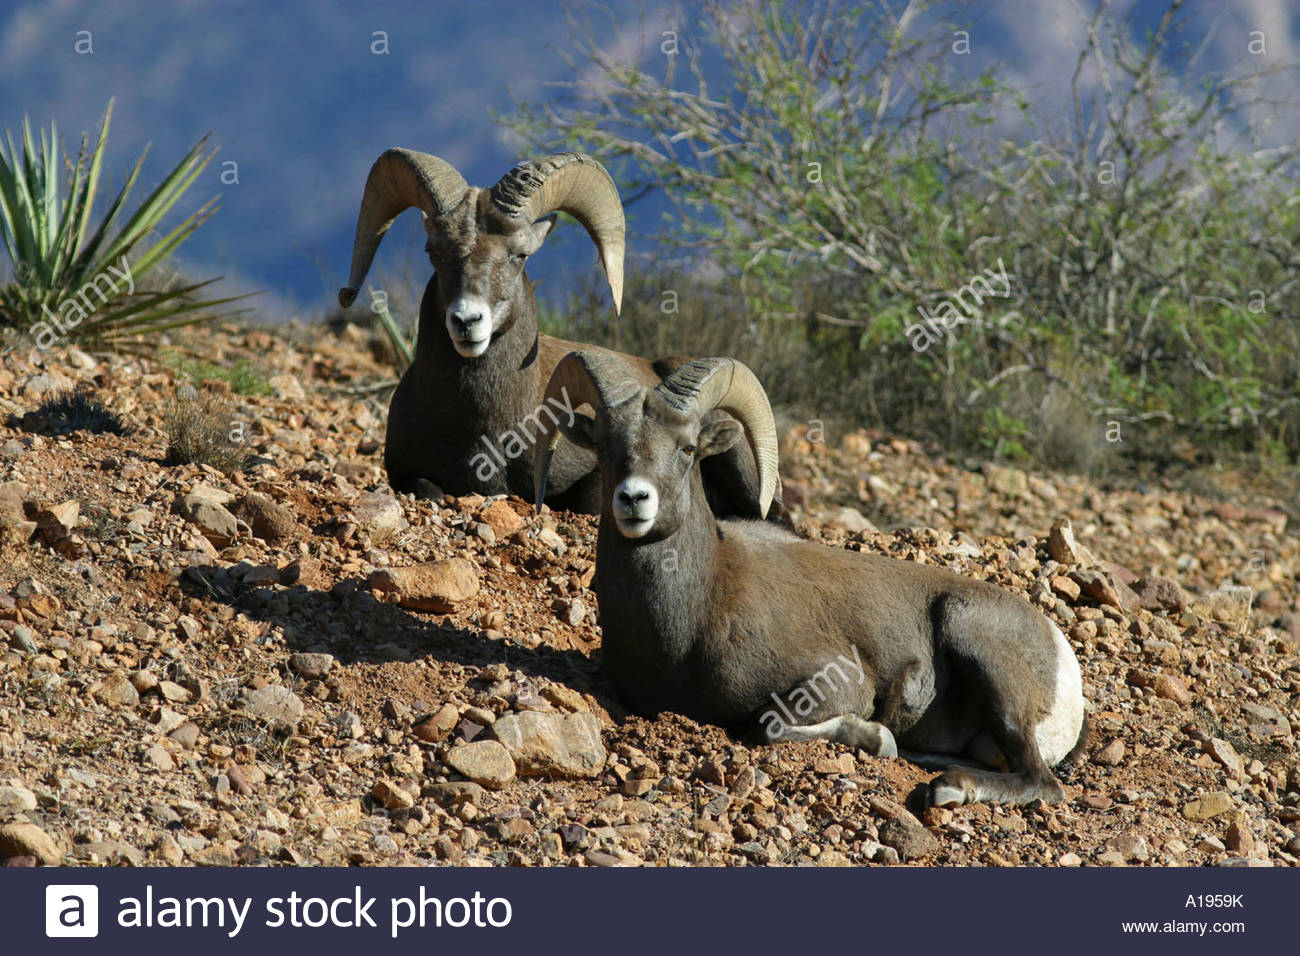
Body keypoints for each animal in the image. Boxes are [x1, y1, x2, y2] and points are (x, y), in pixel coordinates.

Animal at [338, 148, 775, 521]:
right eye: (434, 252)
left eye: (519, 255)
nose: (466, 321)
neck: (483, 430)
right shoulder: (403, 473)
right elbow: (427, 488)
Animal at [533, 351, 1087, 806]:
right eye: (604, 446)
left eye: (687, 449)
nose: (633, 499)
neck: (695, 613)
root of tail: (1063, 661)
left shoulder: (836, 682)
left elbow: (767, 725)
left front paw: (878, 737)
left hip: (973, 639)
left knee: (1040, 781)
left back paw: (949, 788)